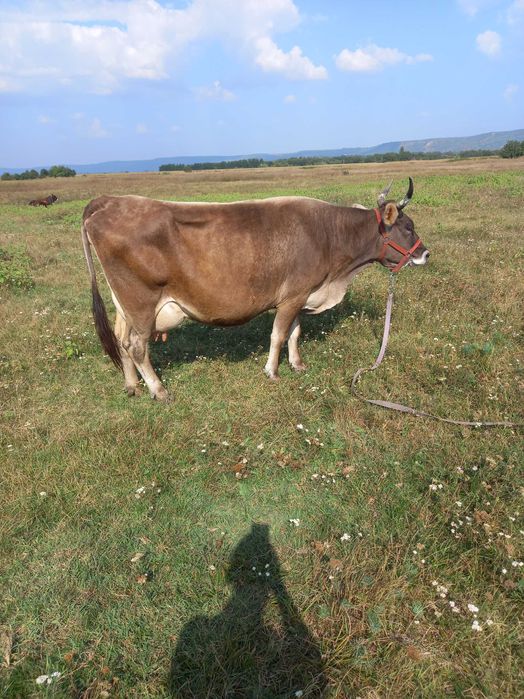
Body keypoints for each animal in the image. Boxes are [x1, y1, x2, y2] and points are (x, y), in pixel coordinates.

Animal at [81, 178, 429, 400]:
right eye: (408, 227)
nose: (425, 254)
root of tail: (110, 202)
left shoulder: (299, 294)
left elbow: (294, 333)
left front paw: (297, 364)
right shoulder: (294, 295)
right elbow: (278, 334)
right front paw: (272, 371)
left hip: (123, 305)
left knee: (121, 340)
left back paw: (132, 386)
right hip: (141, 302)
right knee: (137, 346)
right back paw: (158, 390)